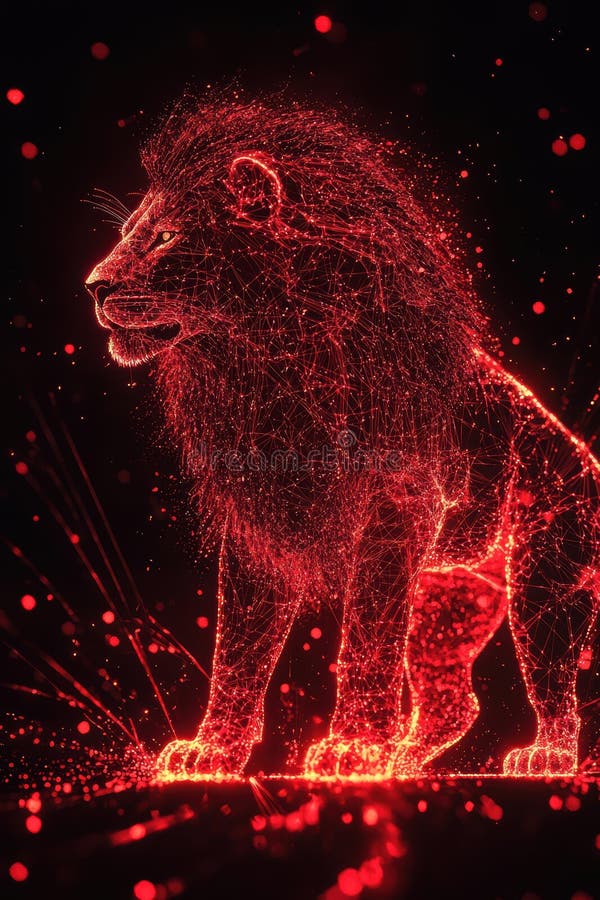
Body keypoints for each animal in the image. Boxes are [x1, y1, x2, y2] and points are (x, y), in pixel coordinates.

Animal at [85, 95, 600, 779]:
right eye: (126, 233)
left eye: (167, 235)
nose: (93, 286)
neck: (266, 363)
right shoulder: (261, 524)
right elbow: (237, 651)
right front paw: (212, 752)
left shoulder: (395, 508)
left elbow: (366, 638)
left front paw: (352, 748)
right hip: (445, 602)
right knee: (454, 703)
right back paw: (405, 760)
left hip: (545, 576)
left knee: (553, 679)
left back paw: (545, 756)